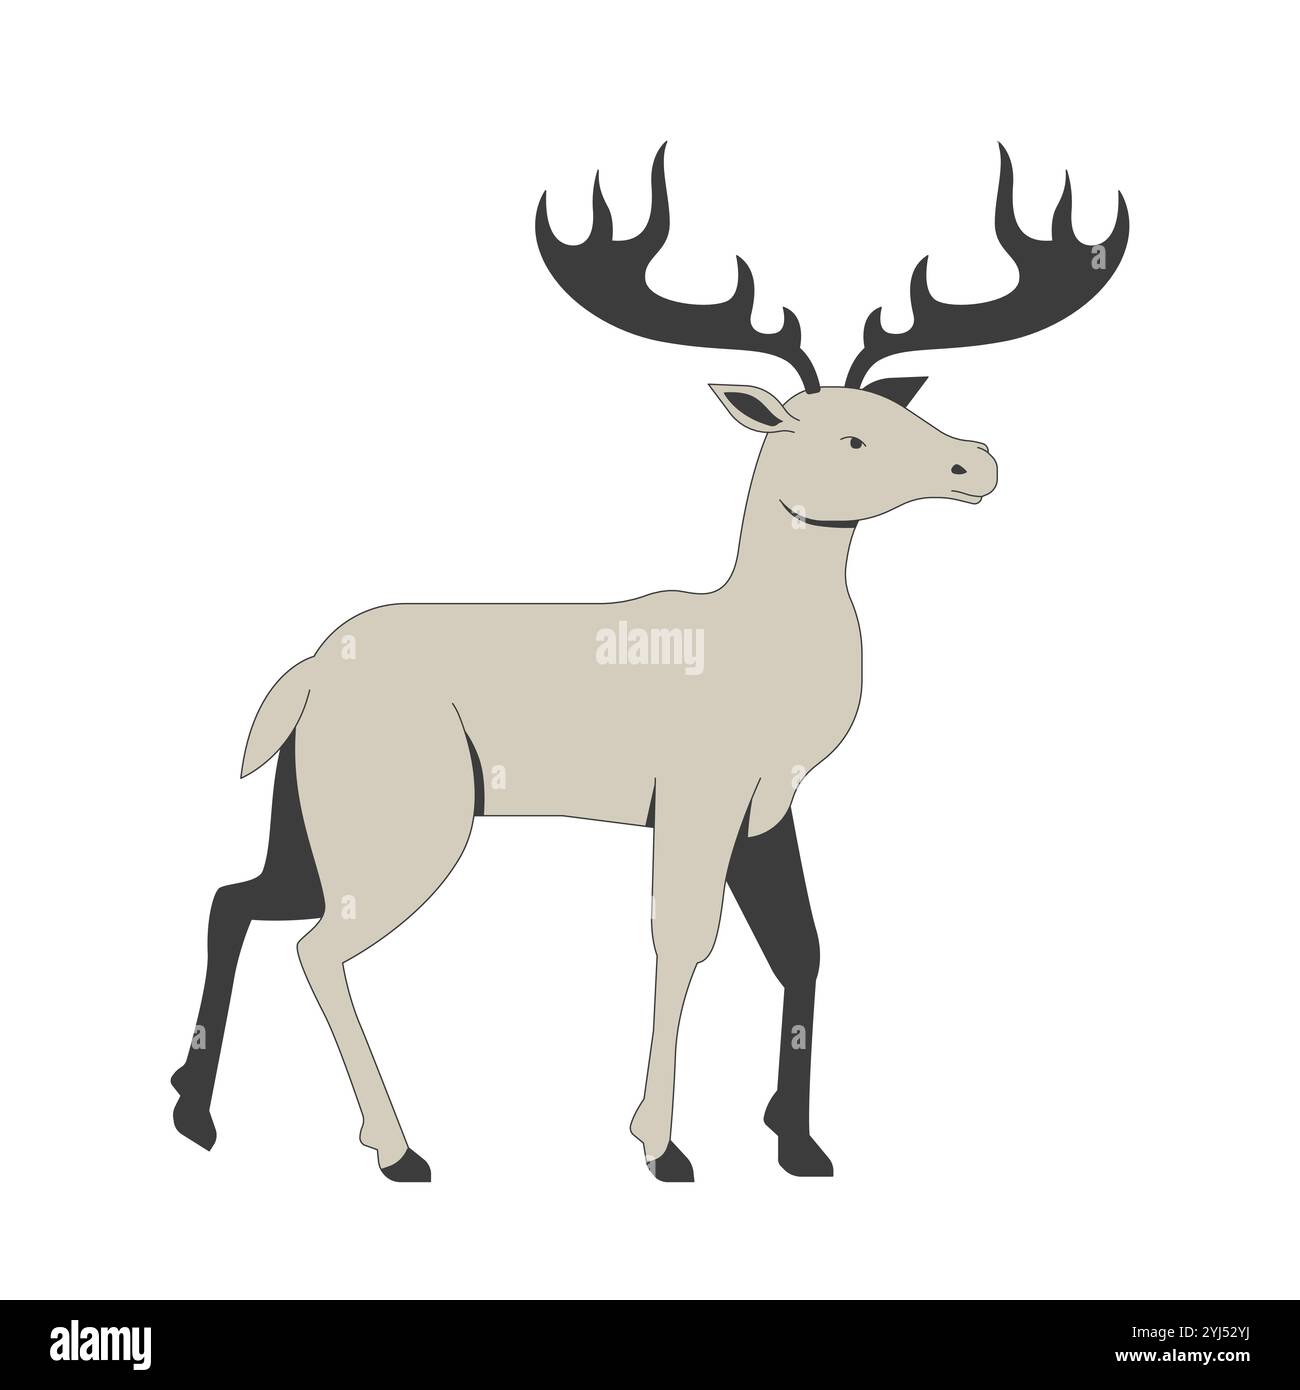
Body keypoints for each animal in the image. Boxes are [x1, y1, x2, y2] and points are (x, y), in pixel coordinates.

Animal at [171, 143, 1127, 1182]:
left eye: (893, 410)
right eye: (851, 434)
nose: (976, 463)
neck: (760, 647)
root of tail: (305, 674)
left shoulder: (766, 812)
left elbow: (802, 945)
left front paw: (798, 1142)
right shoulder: (698, 798)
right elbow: (685, 941)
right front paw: (662, 1145)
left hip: (314, 824)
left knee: (234, 898)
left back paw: (196, 1112)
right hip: (410, 826)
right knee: (319, 946)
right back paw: (397, 1149)